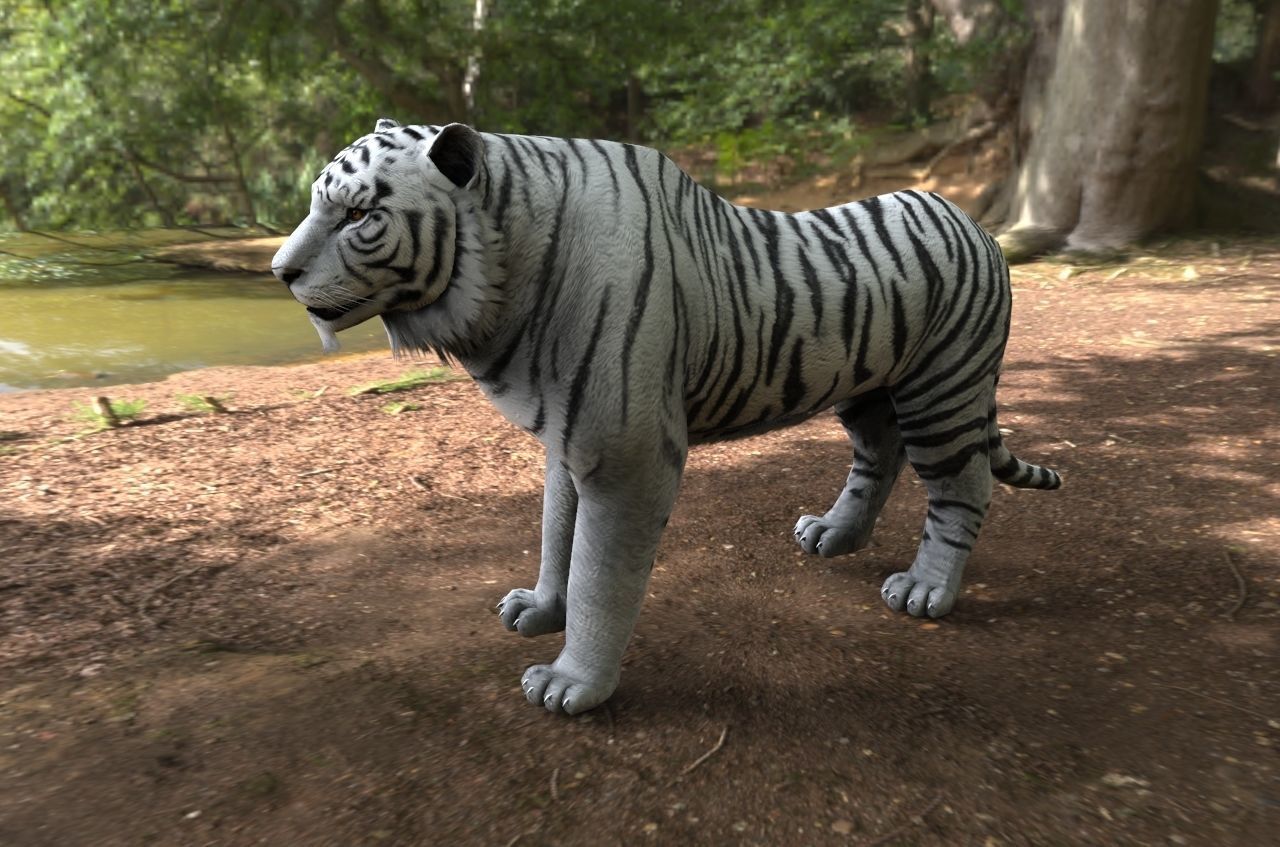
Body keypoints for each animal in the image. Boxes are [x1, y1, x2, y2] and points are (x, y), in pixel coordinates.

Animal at [272, 119, 1062, 716]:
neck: (507, 273)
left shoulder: (627, 457)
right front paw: (539, 609)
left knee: (962, 486)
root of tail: (976, 222)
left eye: (359, 215)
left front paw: (572, 683)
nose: (280, 272)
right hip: (868, 388)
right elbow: (556, 533)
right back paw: (834, 534)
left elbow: (599, 573)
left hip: (942, 389)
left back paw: (926, 589)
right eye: (318, 203)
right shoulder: (566, 441)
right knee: (879, 453)